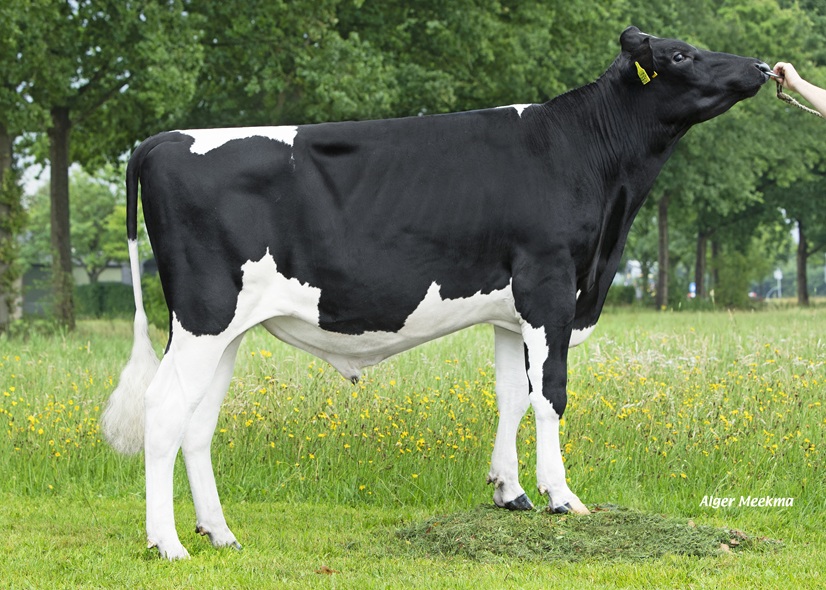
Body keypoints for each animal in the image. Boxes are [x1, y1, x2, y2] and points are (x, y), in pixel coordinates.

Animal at [102, 26, 772, 559]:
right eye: (681, 55)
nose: (763, 68)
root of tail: (165, 139)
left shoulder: (510, 310)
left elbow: (512, 395)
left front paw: (510, 492)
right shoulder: (551, 285)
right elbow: (550, 394)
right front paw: (562, 498)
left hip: (225, 330)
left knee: (197, 422)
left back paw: (219, 533)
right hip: (203, 317)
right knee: (164, 408)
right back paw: (168, 544)